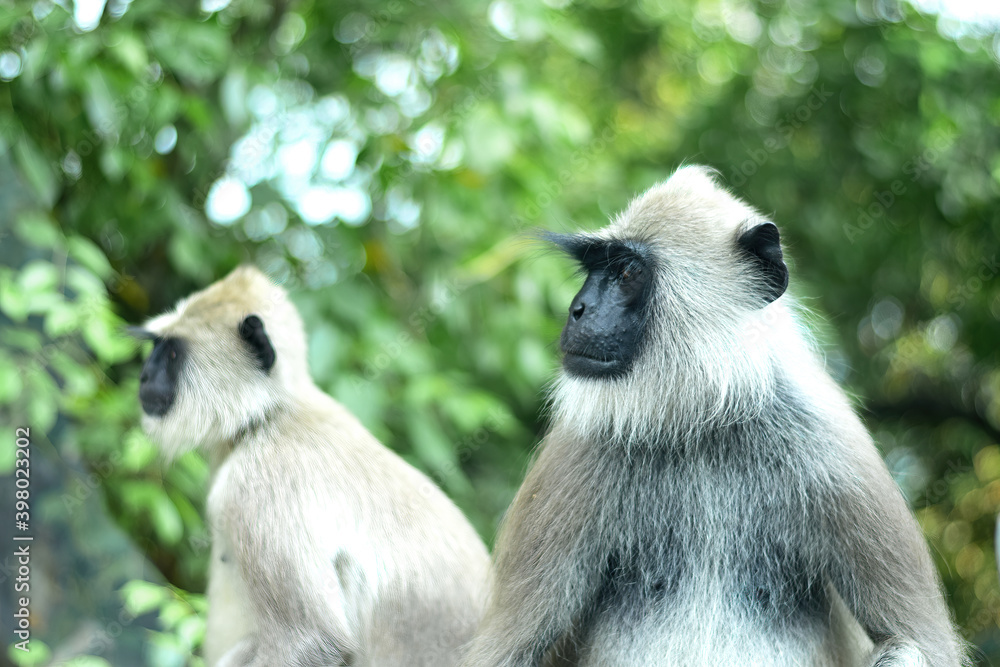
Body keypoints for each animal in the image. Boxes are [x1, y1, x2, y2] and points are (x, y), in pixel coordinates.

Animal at [132, 265, 489, 667]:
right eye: (155, 348)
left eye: (172, 353)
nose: (144, 376)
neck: (270, 418)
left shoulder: (258, 482)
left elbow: (312, 640)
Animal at [461, 166, 967, 667]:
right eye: (592, 270)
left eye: (627, 271)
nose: (577, 309)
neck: (703, 420)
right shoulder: (574, 458)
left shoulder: (836, 451)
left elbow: (919, 643)